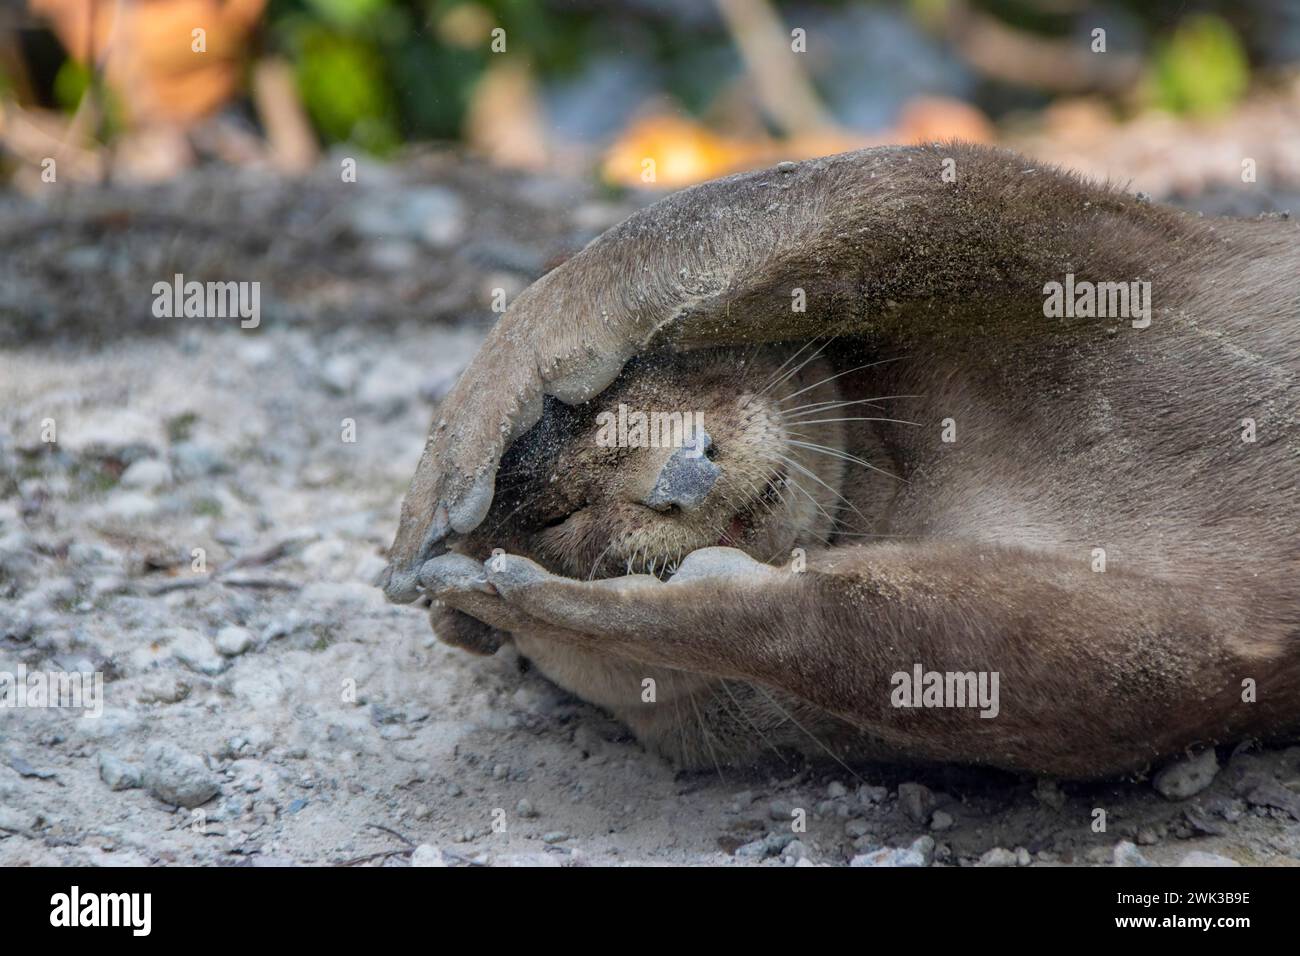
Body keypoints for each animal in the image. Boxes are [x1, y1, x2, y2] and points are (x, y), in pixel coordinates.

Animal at [382, 143, 1300, 779]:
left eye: (643, 386)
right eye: (561, 514)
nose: (685, 472)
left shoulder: (1126, 247)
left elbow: (861, 191)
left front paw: (493, 396)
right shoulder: (1186, 643)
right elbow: (968, 651)